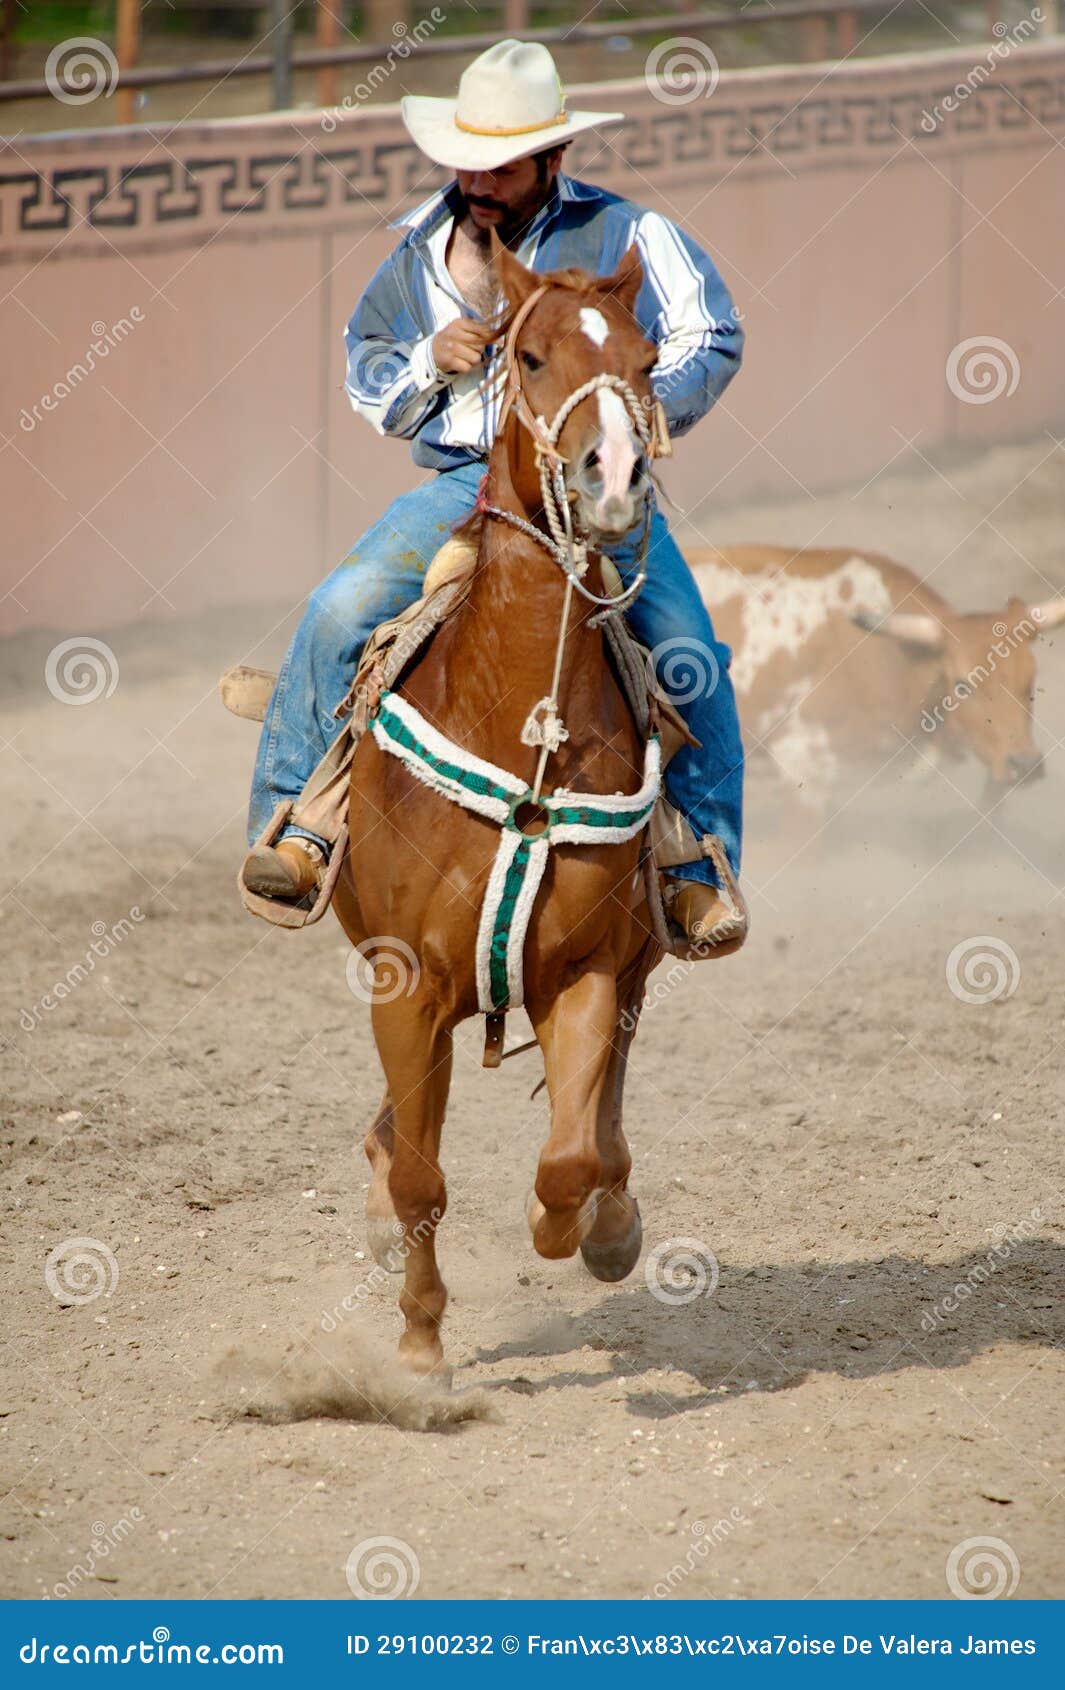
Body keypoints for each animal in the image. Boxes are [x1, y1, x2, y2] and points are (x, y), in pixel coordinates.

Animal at [333, 240, 666, 1375]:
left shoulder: (589, 966)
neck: (519, 717)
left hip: (639, 958)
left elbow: (568, 1156)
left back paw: (613, 1221)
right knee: (404, 1134)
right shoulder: (404, 979)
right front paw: (420, 1348)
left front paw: (576, 1230)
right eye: (526, 356)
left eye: (648, 359)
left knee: (606, 1108)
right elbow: (421, 1176)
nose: (615, 475)